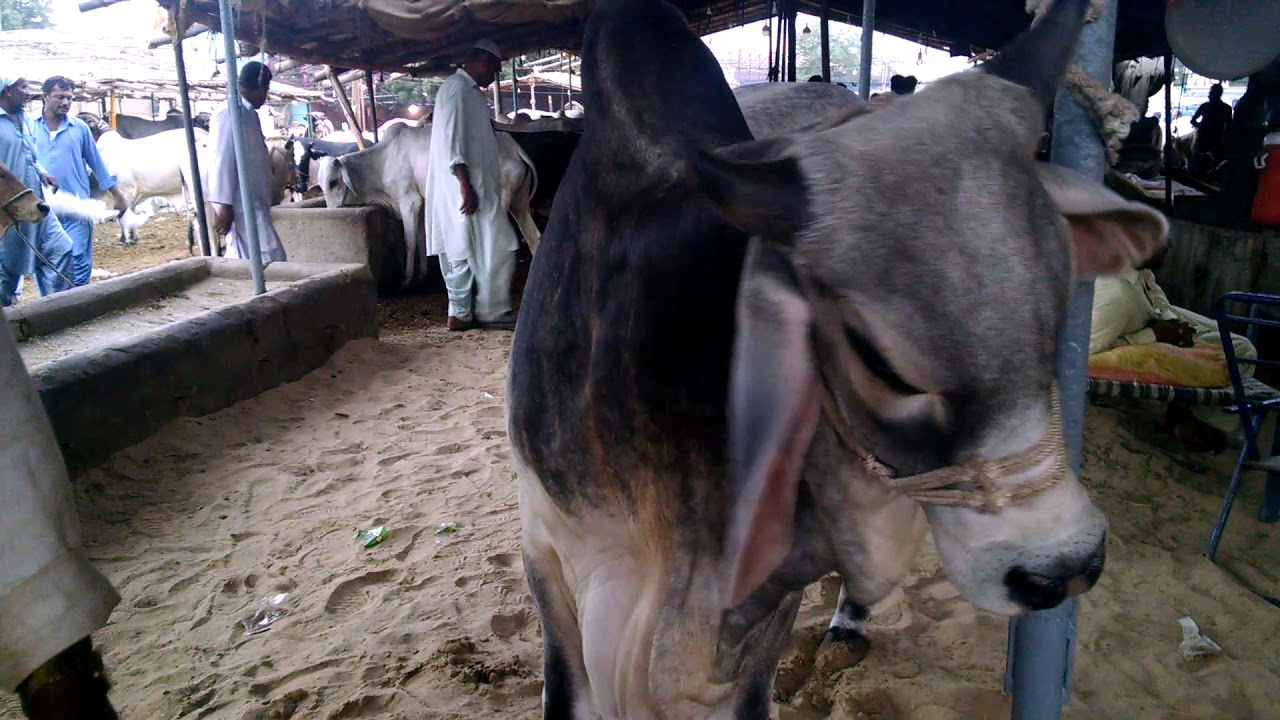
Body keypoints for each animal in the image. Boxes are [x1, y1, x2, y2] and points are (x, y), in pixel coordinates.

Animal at [317, 120, 540, 288]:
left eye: (333, 182)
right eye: (321, 184)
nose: (332, 210)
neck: (382, 162)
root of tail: (514, 147)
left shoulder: (409, 201)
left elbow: (409, 241)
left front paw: (406, 279)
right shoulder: (422, 206)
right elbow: (420, 238)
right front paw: (422, 274)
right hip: (519, 204)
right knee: (533, 236)